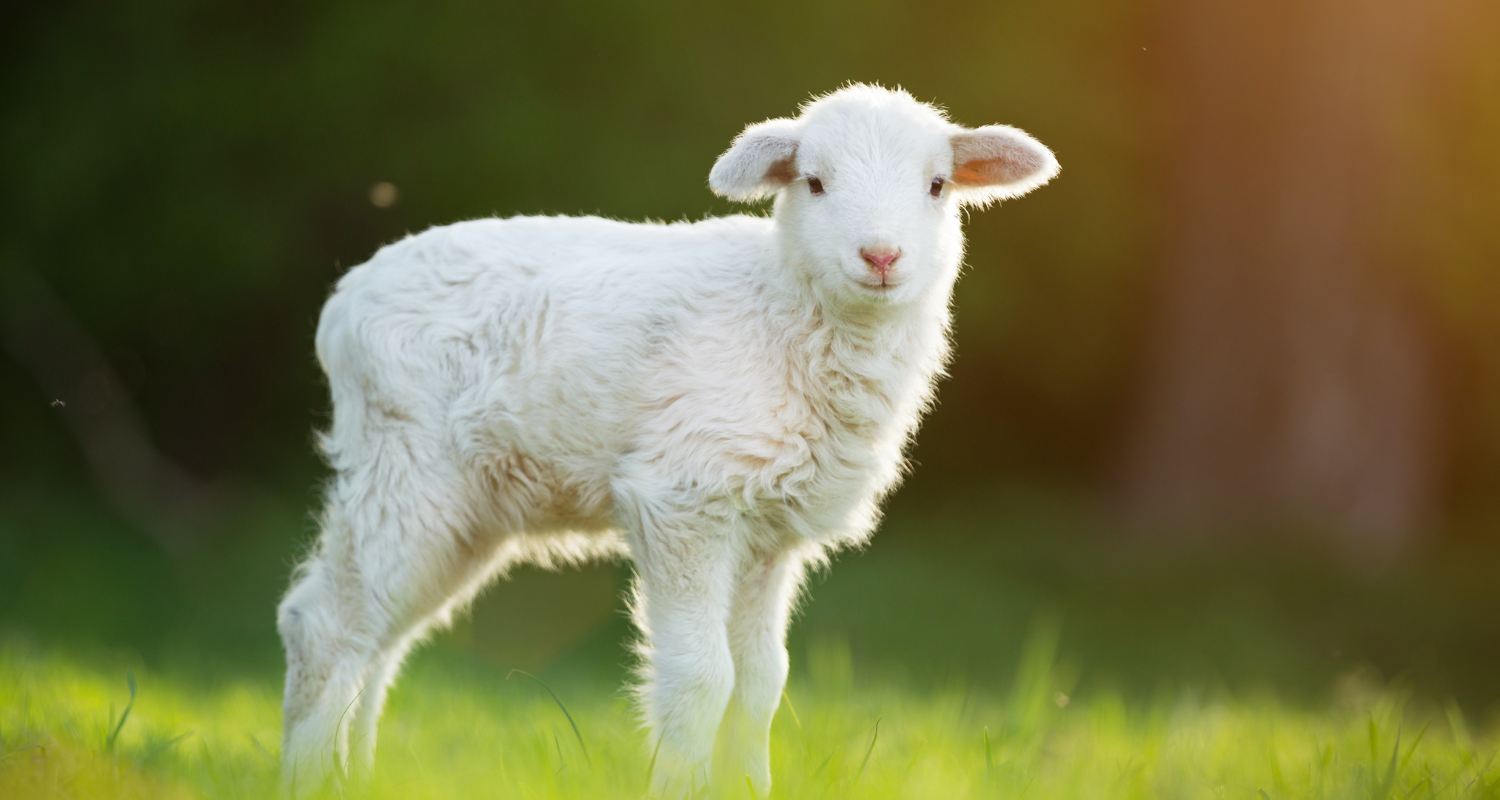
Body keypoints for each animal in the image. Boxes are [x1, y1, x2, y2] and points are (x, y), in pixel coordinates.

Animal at [277, 83, 1058, 797]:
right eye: (814, 181)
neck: (779, 311)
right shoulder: (684, 497)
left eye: (936, 185)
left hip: (466, 507)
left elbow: (761, 683)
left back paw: (358, 776)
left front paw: (748, 786)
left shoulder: (769, 532)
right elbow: (703, 678)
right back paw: (310, 778)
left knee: (379, 641)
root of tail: (343, 302)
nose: (882, 256)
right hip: (405, 465)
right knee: (325, 628)